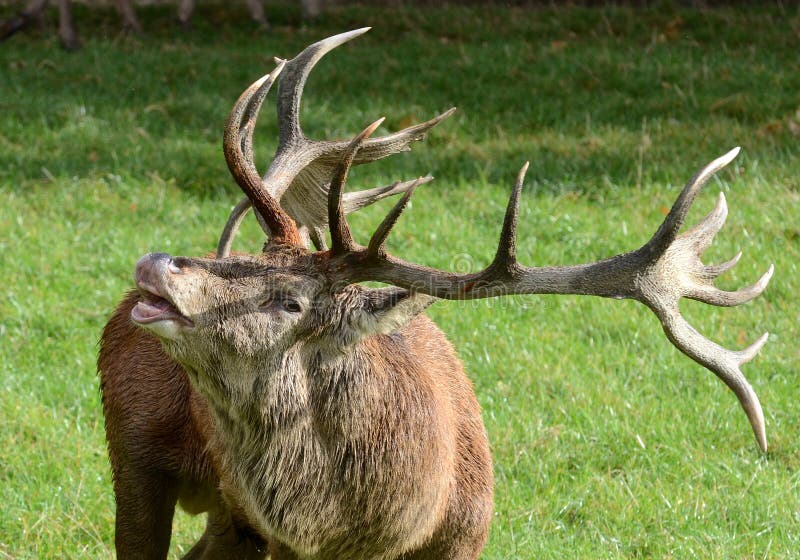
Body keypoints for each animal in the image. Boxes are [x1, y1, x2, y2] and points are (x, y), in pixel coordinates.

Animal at [98, 28, 774, 560]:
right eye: (248, 261)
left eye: (290, 301)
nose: (158, 265)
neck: (373, 532)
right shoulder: (279, 540)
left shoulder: (469, 534)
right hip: (133, 450)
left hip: (225, 516)